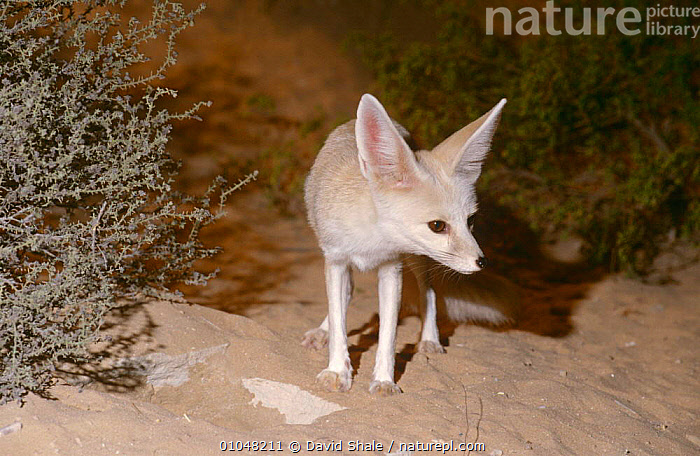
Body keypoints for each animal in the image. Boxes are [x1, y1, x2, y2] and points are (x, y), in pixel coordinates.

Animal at [302, 94, 508, 395]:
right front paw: (338, 370)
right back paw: (323, 331)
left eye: (470, 220)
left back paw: (429, 340)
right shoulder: (336, 260)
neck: (371, 239)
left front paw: (384, 380)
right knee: (347, 293)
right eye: (438, 226)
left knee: (429, 292)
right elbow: (339, 318)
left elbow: (388, 334)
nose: (482, 262)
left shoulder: (392, 268)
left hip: (417, 259)